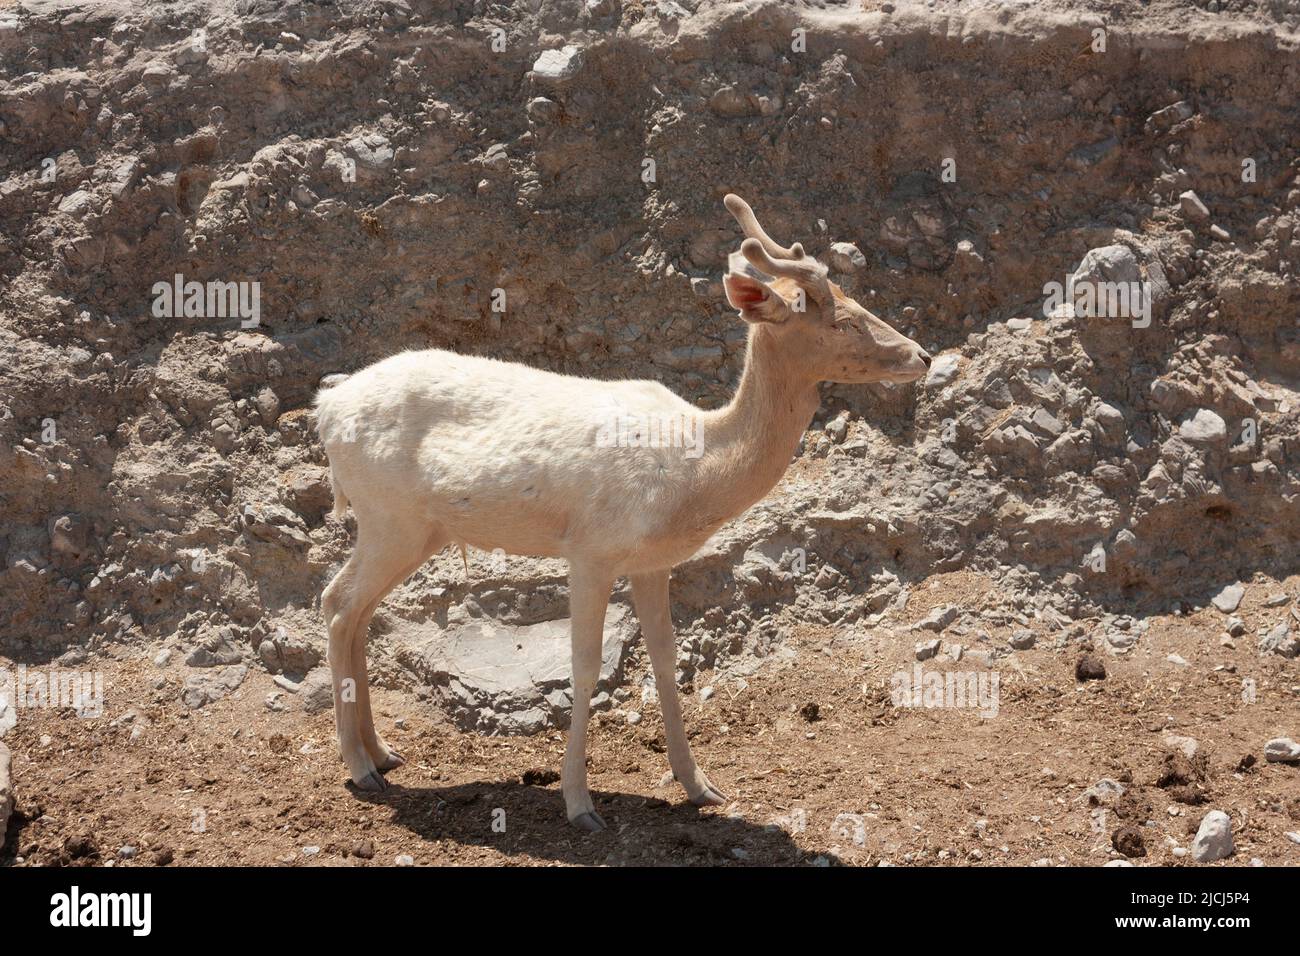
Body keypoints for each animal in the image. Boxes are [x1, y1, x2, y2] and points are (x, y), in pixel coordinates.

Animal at [314, 193, 932, 830]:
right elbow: (584, 664)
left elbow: (665, 657)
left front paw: (700, 786)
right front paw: (579, 803)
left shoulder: (653, 561)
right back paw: (360, 768)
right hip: (390, 519)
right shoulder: (591, 550)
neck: (695, 470)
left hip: (415, 530)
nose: (924, 355)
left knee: (356, 611)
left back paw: (382, 752)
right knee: (336, 602)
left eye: (858, 302)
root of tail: (325, 408)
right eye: (842, 320)